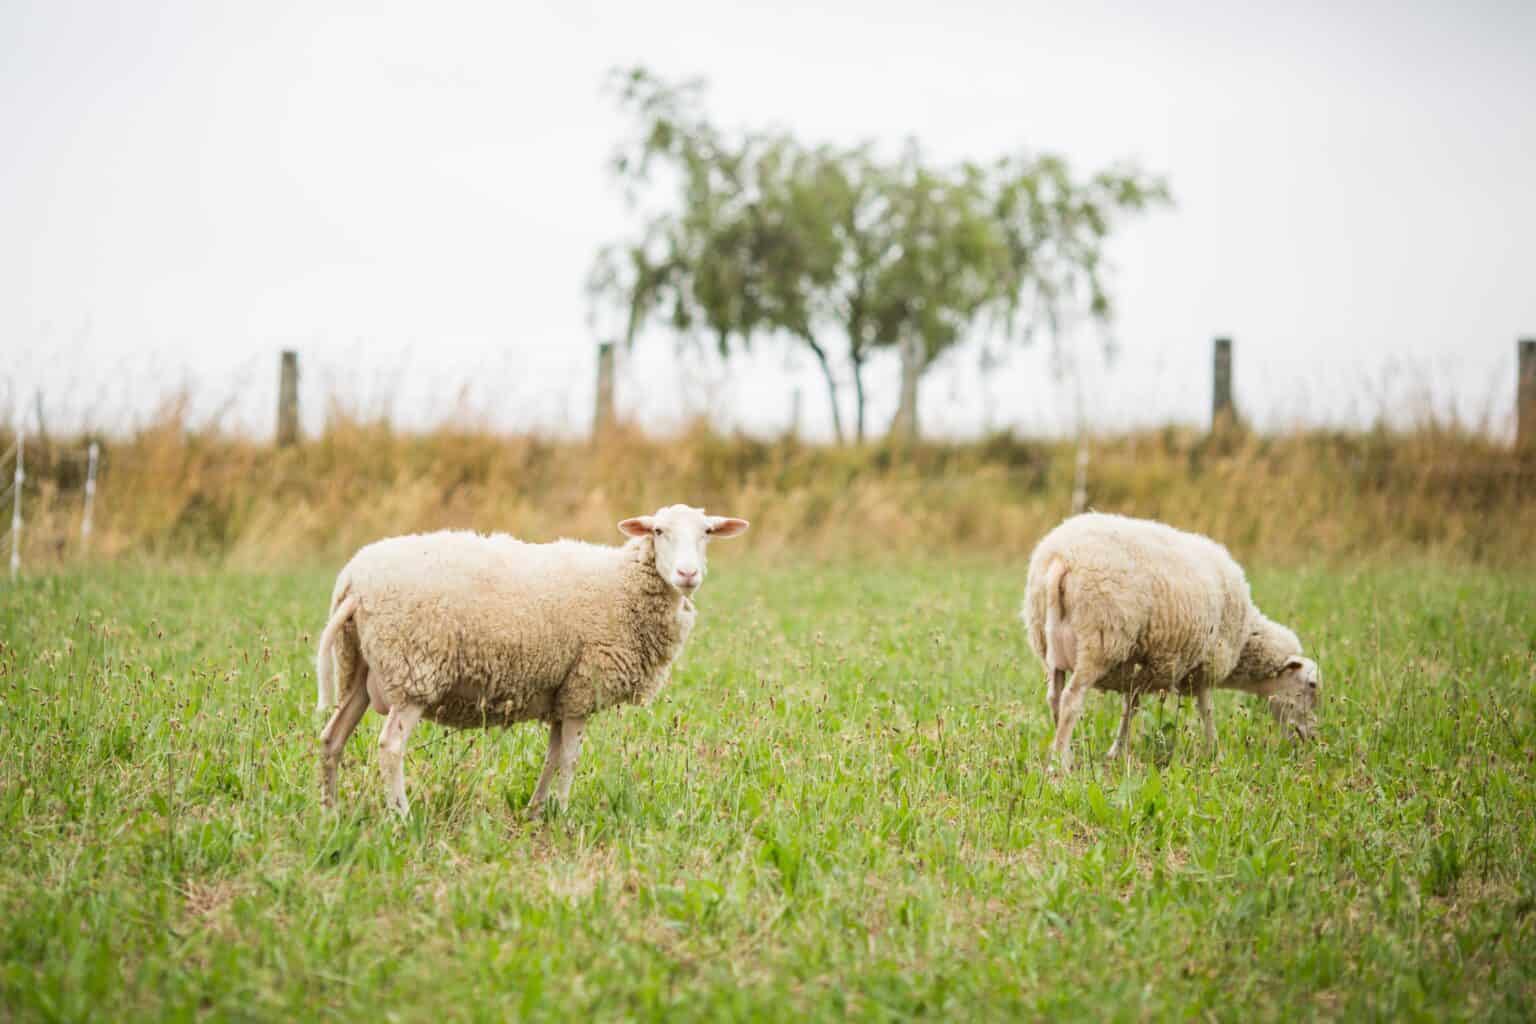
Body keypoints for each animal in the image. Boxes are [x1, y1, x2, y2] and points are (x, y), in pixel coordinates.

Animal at [314, 504, 749, 817]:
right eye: (658, 531)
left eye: (707, 532)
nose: (687, 574)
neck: (624, 583)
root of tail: (353, 581)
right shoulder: (584, 686)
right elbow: (570, 759)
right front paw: (564, 814)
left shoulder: (563, 691)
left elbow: (552, 757)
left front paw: (536, 812)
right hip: (413, 671)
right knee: (390, 747)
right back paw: (400, 816)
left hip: (359, 667)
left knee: (332, 738)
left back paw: (331, 812)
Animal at [1020, 512, 1319, 771]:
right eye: (1311, 685)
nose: (1311, 739)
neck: (1246, 639)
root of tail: (1061, 558)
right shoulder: (1206, 664)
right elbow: (1207, 710)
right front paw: (1215, 752)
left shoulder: (1138, 666)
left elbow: (1130, 709)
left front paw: (1117, 752)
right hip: (1100, 641)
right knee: (1071, 701)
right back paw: (1060, 764)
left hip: (1050, 644)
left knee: (1054, 698)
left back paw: (1064, 753)